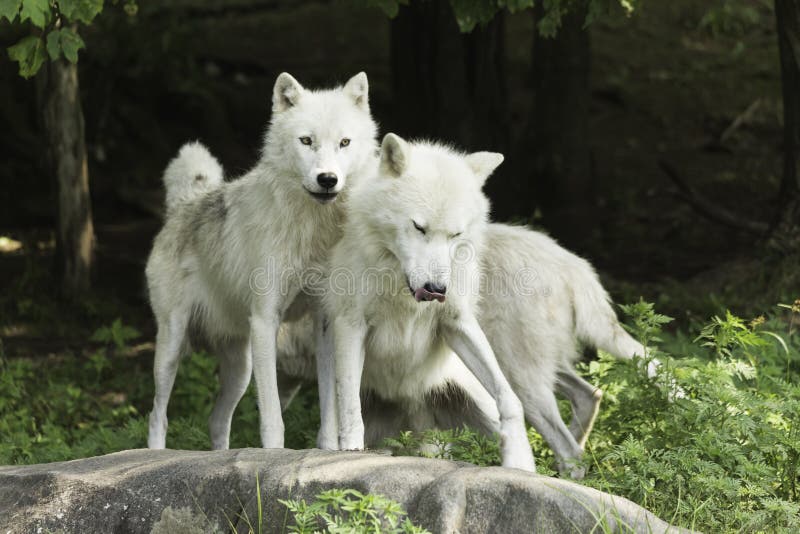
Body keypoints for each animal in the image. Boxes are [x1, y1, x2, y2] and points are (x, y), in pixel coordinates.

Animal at [145, 72, 378, 450]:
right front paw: (273, 455)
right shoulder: (266, 320)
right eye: (306, 141)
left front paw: (327, 450)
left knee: (216, 420)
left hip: (240, 368)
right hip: (172, 346)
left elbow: (329, 404)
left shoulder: (325, 321)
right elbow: (272, 417)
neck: (312, 230)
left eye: (344, 142)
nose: (327, 179)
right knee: (157, 415)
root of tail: (185, 203)